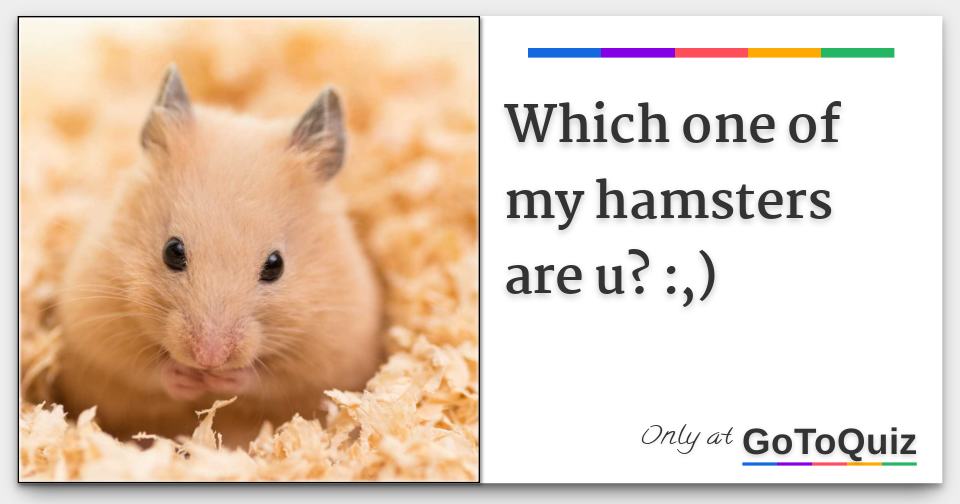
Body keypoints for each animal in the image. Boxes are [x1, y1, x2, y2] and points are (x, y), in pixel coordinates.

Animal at [54, 65, 384, 445]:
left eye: (276, 265)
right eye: (172, 251)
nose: (208, 359)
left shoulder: (332, 348)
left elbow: (271, 381)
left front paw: (223, 379)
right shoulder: (95, 321)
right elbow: (141, 368)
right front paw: (187, 377)